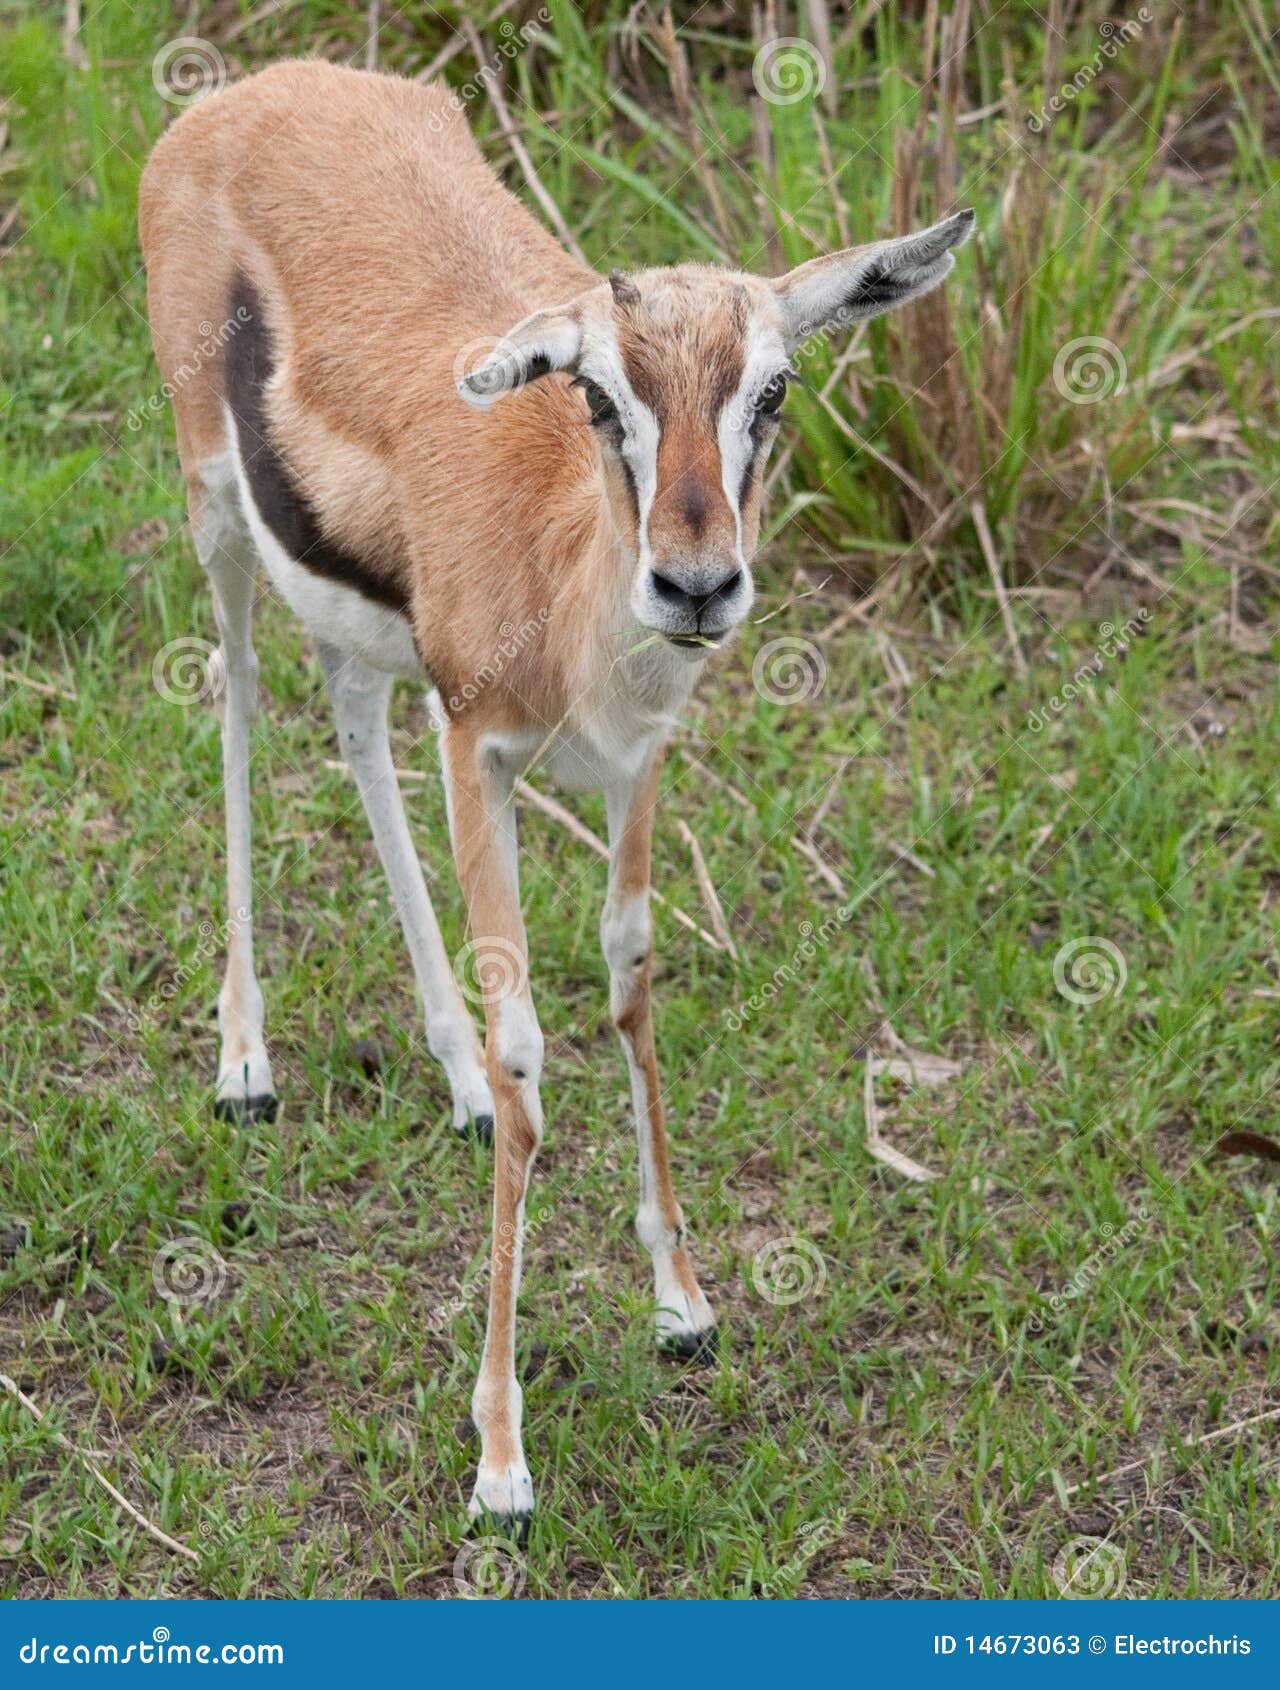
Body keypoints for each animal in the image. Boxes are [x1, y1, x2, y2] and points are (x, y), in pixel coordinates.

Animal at [139, 59, 972, 1537]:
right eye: (597, 397)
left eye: (772, 389)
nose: (695, 584)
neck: (563, 565)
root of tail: (253, 89)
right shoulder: (482, 750)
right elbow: (533, 1044)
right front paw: (499, 1456)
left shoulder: (635, 762)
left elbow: (630, 976)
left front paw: (685, 1303)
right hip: (218, 515)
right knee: (237, 698)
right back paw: (245, 1061)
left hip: (357, 617)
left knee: (350, 718)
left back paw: (445, 1071)